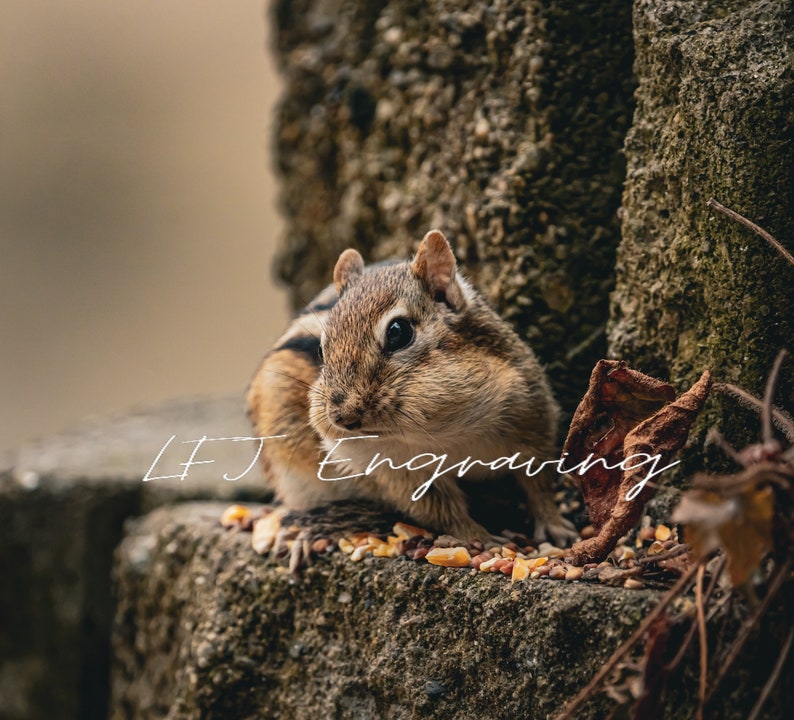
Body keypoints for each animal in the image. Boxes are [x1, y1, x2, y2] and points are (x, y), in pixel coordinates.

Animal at [247, 230, 576, 545]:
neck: (446, 432)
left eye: (398, 332)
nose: (342, 418)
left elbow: (538, 482)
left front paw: (554, 524)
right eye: (320, 350)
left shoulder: (530, 414)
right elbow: (440, 509)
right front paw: (479, 537)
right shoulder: (398, 471)